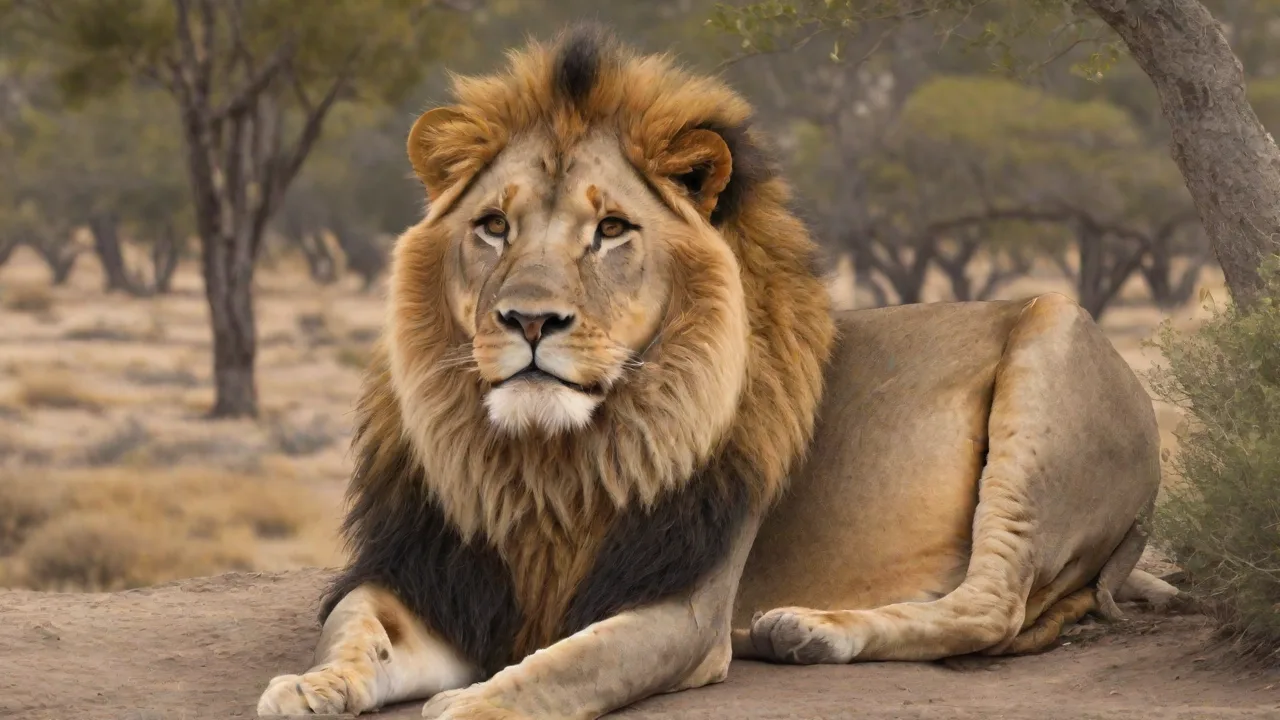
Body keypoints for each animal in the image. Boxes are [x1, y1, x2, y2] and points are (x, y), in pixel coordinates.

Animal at [256, 25, 1180, 719]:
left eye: (612, 230)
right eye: (493, 225)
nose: (529, 321)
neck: (549, 465)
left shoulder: (685, 607)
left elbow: (568, 666)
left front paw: (477, 701)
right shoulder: (436, 576)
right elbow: (353, 630)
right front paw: (308, 687)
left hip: (1054, 340)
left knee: (994, 605)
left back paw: (811, 630)